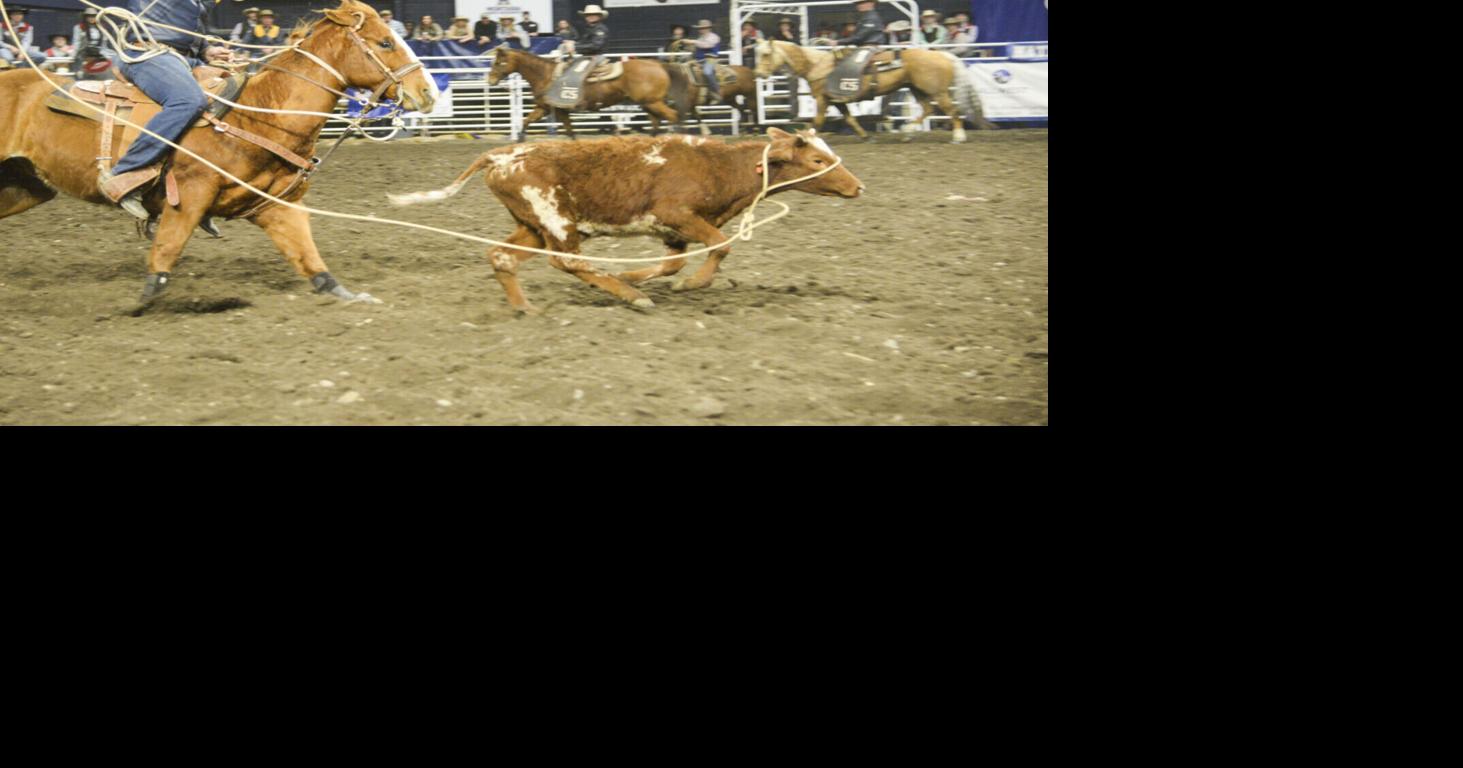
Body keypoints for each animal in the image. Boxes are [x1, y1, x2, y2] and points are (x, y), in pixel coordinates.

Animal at [0, 0, 435, 304]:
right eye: (385, 42)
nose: (427, 91)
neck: (257, 114)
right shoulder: (188, 197)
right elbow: (166, 253)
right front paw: (142, 304)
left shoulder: (275, 207)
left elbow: (311, 261)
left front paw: (352, 298)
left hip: (25, 187)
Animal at [487, 47, 684, 141]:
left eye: (498, 62)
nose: (490, 80)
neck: (546, 75)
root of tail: (659, 64)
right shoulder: (547, 108)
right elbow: (529, 121)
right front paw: (519, 140)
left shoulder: (557, 109)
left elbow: (568, 131)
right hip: (648, 103)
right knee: (656, 124)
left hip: (653, 103)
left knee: (673, 117)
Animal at [753, 39, 994, 142]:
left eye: (766, 54)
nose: (758, 73)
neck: (818, 65)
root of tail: (943, 54)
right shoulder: (838, 100)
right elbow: (850, 119)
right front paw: (865, 136)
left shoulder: (823, 99)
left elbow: (818, 121)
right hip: (916, 88)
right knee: (928, 110)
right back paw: (908, 131)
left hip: (937, 92)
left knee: (951, 111)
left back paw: (958, 136)